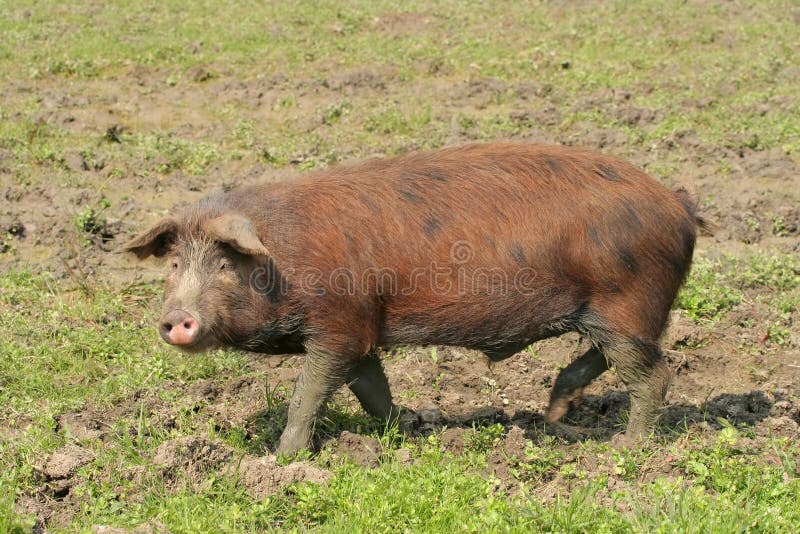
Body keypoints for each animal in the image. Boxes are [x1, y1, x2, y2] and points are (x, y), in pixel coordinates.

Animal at [122, 142, 706, 454]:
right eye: (174, 266)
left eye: (225, 265)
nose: (175, 320)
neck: (281, 262)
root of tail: (678, 206)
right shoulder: (362, 330)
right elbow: (371, 387)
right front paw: (402, 429)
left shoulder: (338, 325)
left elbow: (307, 393)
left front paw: (281, 459)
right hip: (611, 311)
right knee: (612, 360)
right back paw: (555, 417)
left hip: (626, 301)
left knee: (655, 374)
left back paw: (624, 448)